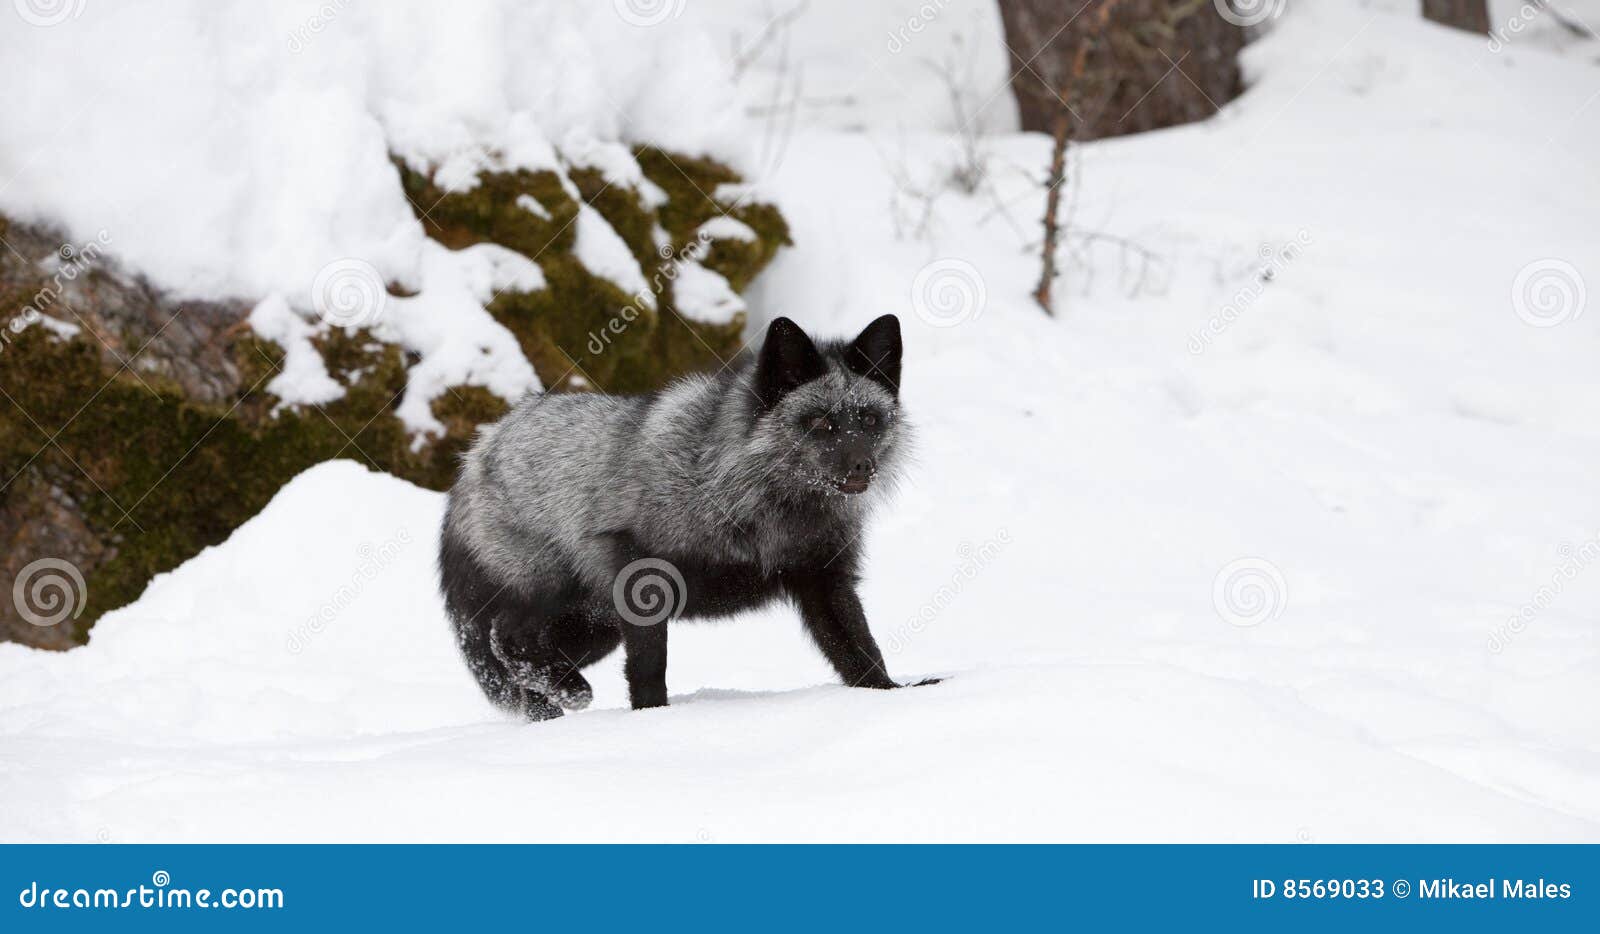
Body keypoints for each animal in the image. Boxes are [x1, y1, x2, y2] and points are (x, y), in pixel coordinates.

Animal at [438, 313, 937, 720]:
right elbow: (649, 666)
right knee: (507, 637)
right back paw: (565, 691)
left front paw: (890, 694)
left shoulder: (823, 577)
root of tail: (481, 447)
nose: (862, 467)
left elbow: (859, 649)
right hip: (557, 591)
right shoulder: (642, 576)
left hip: (596, 624)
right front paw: (654, 721)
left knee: (526, 654)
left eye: (868, 420)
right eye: (820, 423)